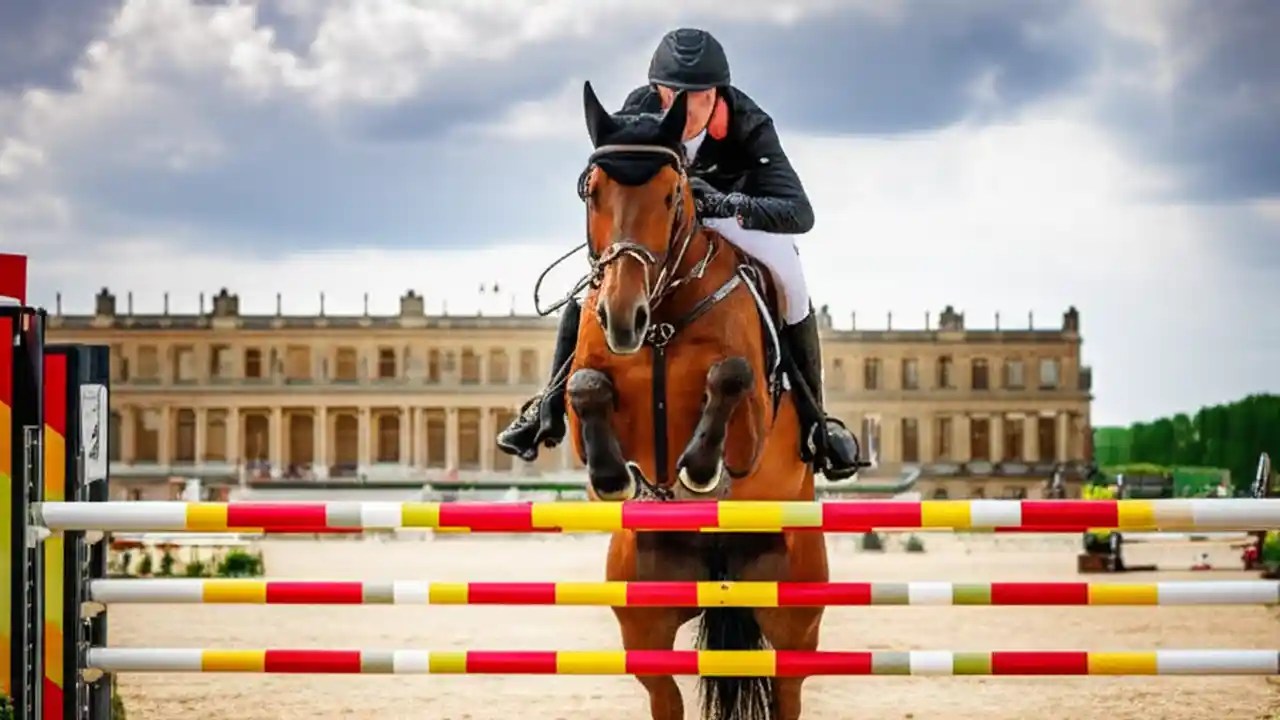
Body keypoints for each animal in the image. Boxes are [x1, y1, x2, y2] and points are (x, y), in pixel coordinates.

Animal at [563, 80, 829, 720]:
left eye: (672, 196)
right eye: (592, 192)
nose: (623, 319)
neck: (663, 319)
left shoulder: (754, 428)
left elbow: (730, 375)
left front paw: (699, 469)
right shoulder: (587, 407)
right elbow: (586, 388)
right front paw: (615, 477)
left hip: (793, 613)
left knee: (787, 689)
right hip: (645, 618)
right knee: (664, 693)